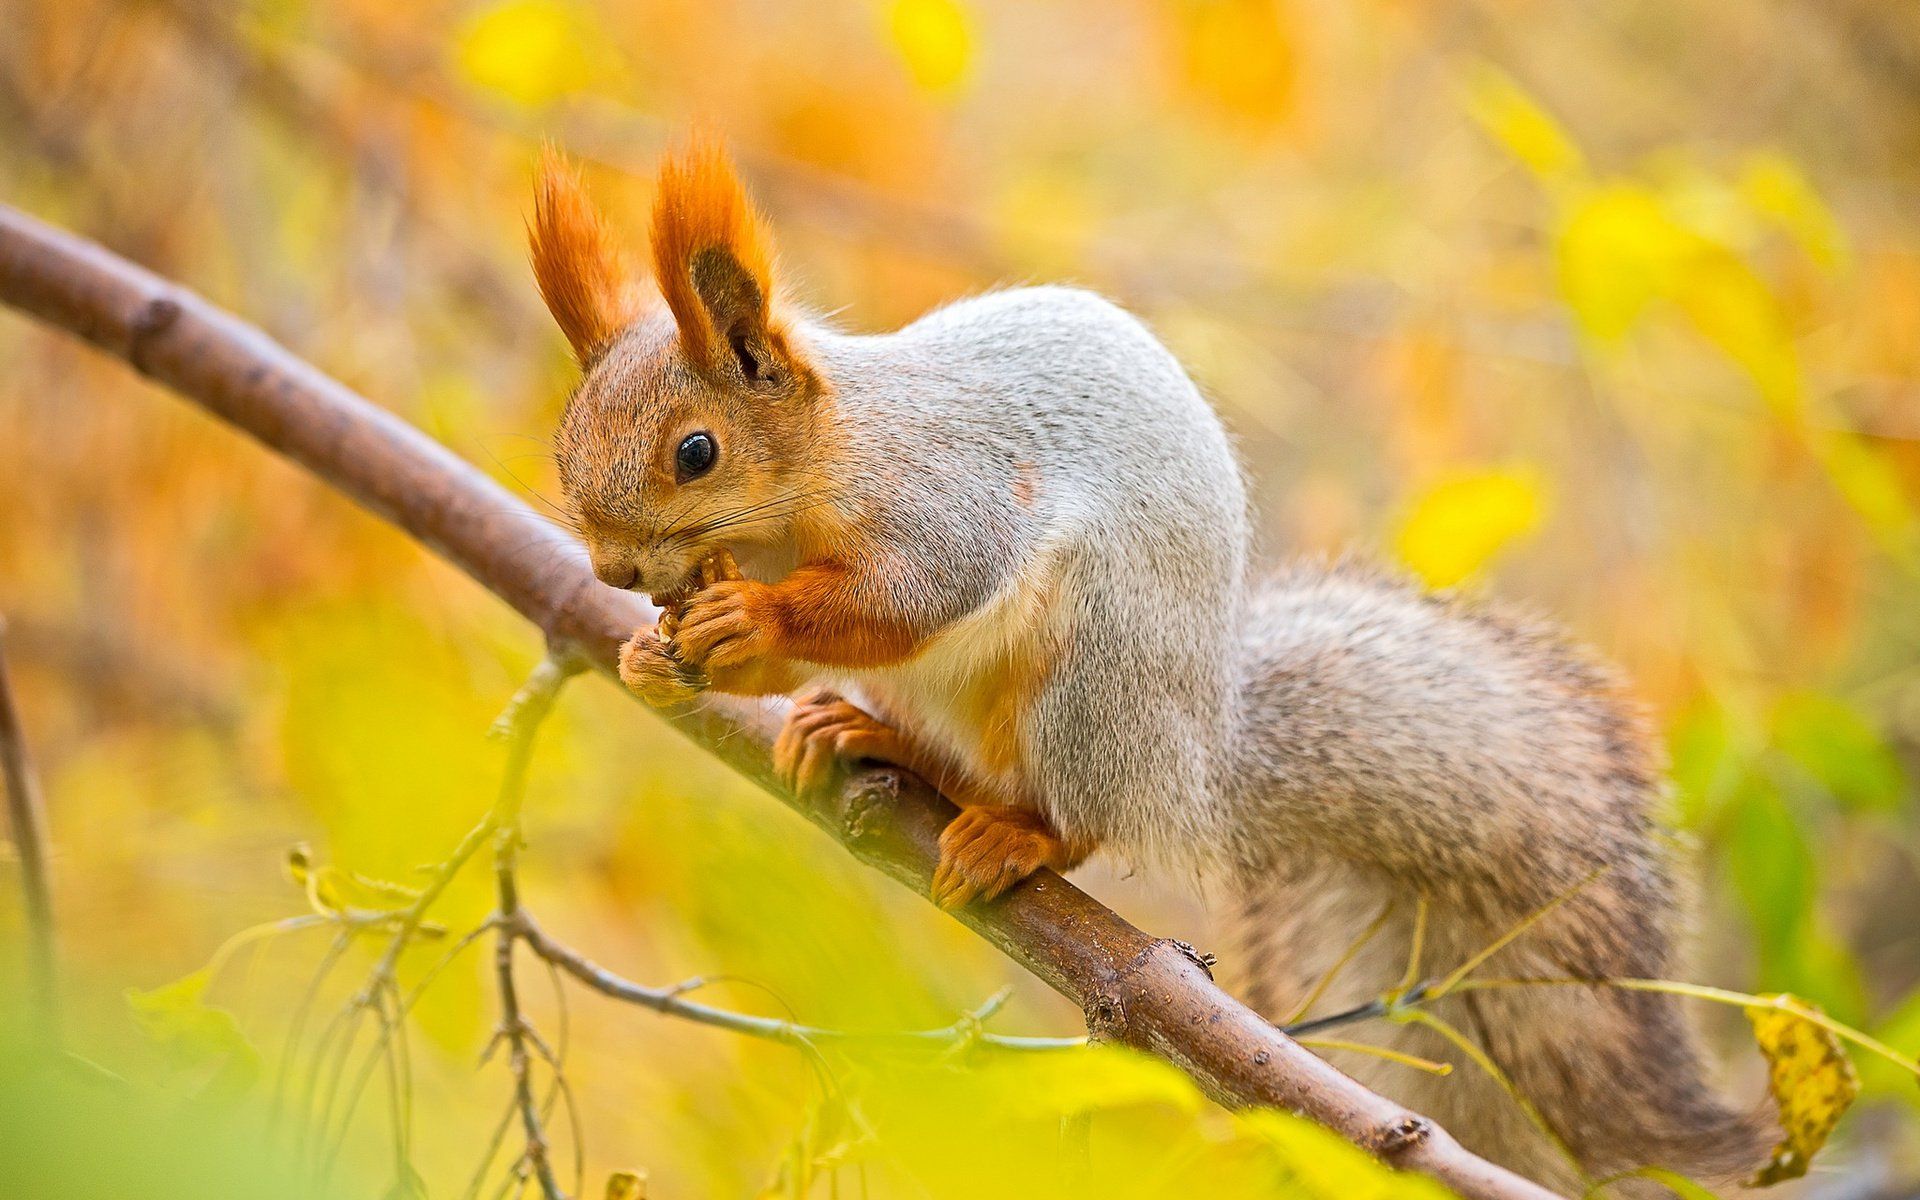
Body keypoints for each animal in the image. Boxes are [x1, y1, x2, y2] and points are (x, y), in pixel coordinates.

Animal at [528, 142, 1767, 1192]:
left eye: (697, 453)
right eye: (564, 443)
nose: (614, 567)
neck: (804, 490)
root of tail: (1193, 762)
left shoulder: (945, 499)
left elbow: (913, 595)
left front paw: (749, 618)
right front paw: (648, 653)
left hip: (1093, 677)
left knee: (1082, 813)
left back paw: (1017, 834)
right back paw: (862, 733)